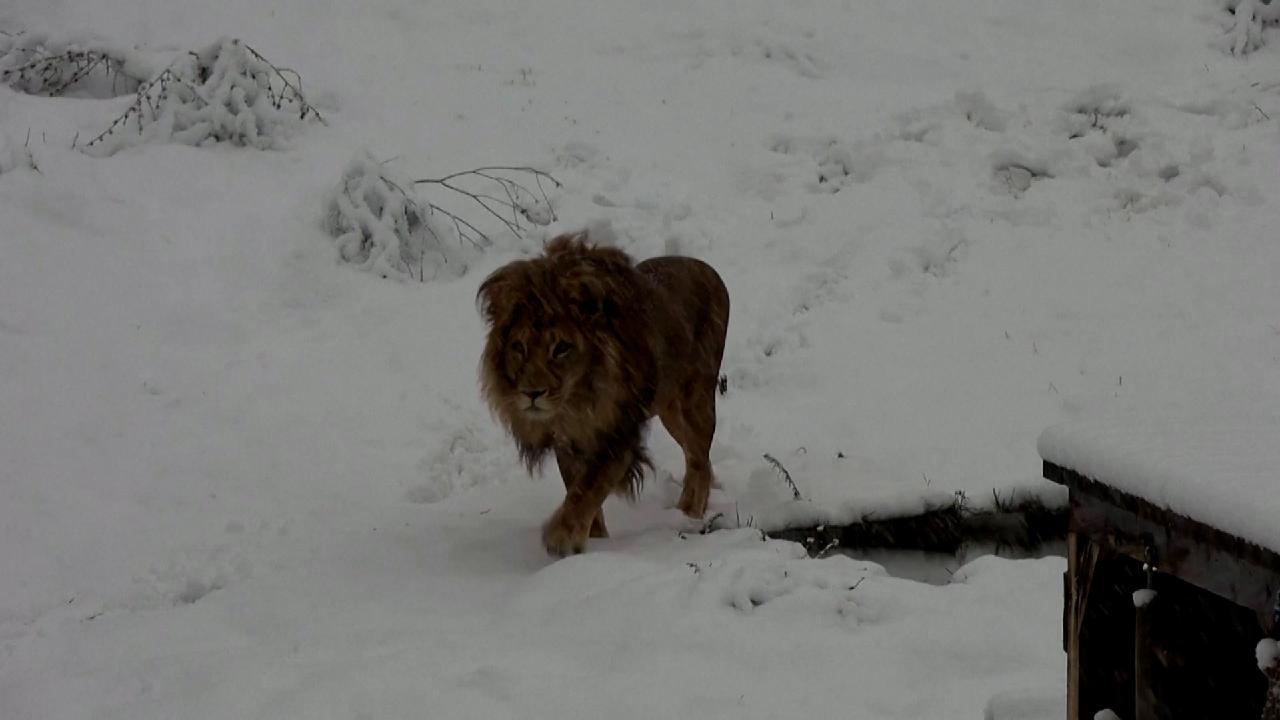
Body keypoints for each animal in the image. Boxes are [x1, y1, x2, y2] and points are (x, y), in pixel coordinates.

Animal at [477, 231, 730, 556]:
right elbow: (579, 493)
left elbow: (587, 490)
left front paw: (559, 538)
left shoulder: (618, 437)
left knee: (699, 459)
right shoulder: (568, 443)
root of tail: (708, 269)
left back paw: (689, 515)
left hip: (696, 399)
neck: (578, 400)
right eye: (518, 348)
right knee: (696, 454)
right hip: (669, 409)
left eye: (561, 348)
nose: (532, 393)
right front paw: (592, 541)